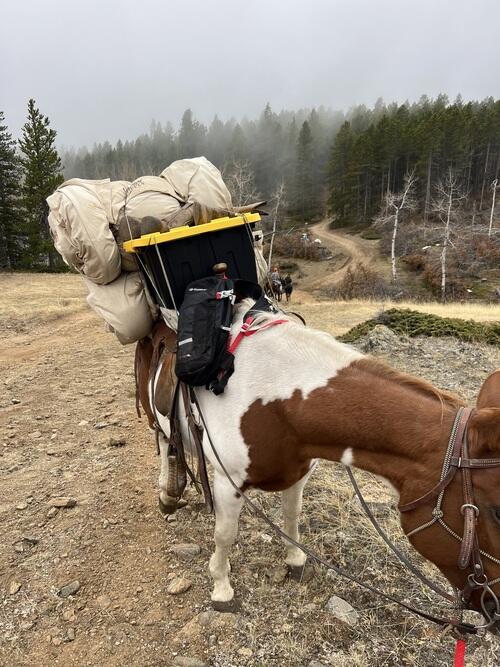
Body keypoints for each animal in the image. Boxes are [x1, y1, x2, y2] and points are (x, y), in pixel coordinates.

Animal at [135, 302, 500, 630]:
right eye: (497, 511)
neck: (276, 400)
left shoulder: (298, 473)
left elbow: (291, 516)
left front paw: (295, 559)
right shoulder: (229, 482)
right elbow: (225, 535)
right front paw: (222, 588)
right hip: (155, 415)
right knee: (165, 442)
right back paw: (168, 492)